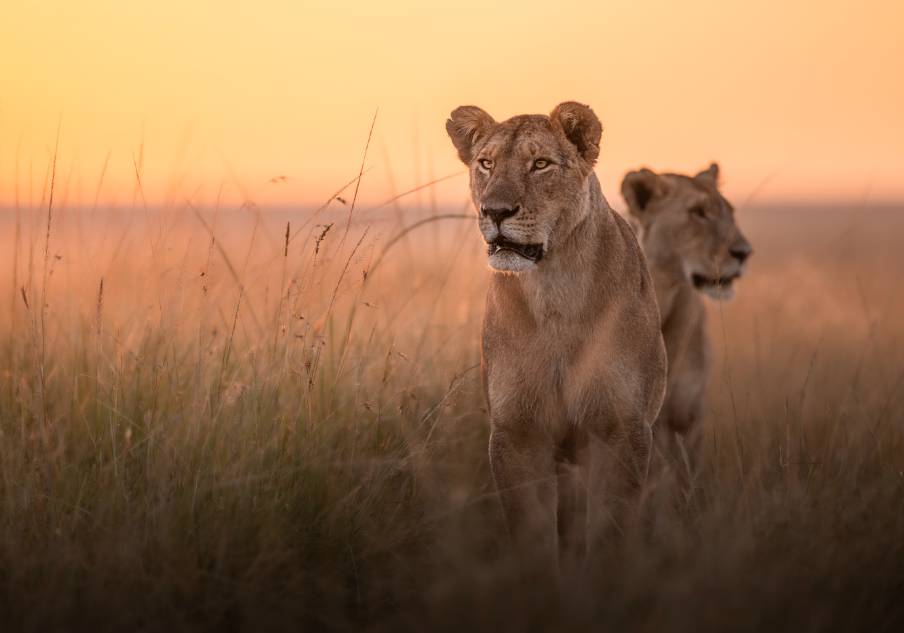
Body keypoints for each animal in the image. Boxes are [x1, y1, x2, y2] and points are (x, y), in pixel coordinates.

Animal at [446, 102, 667, 571]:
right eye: (486, 163)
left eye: (541, 164)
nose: (495, 211)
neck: (554, 295)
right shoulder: (517, 432)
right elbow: (532, 533)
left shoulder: (622, 429)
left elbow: (611, 532)